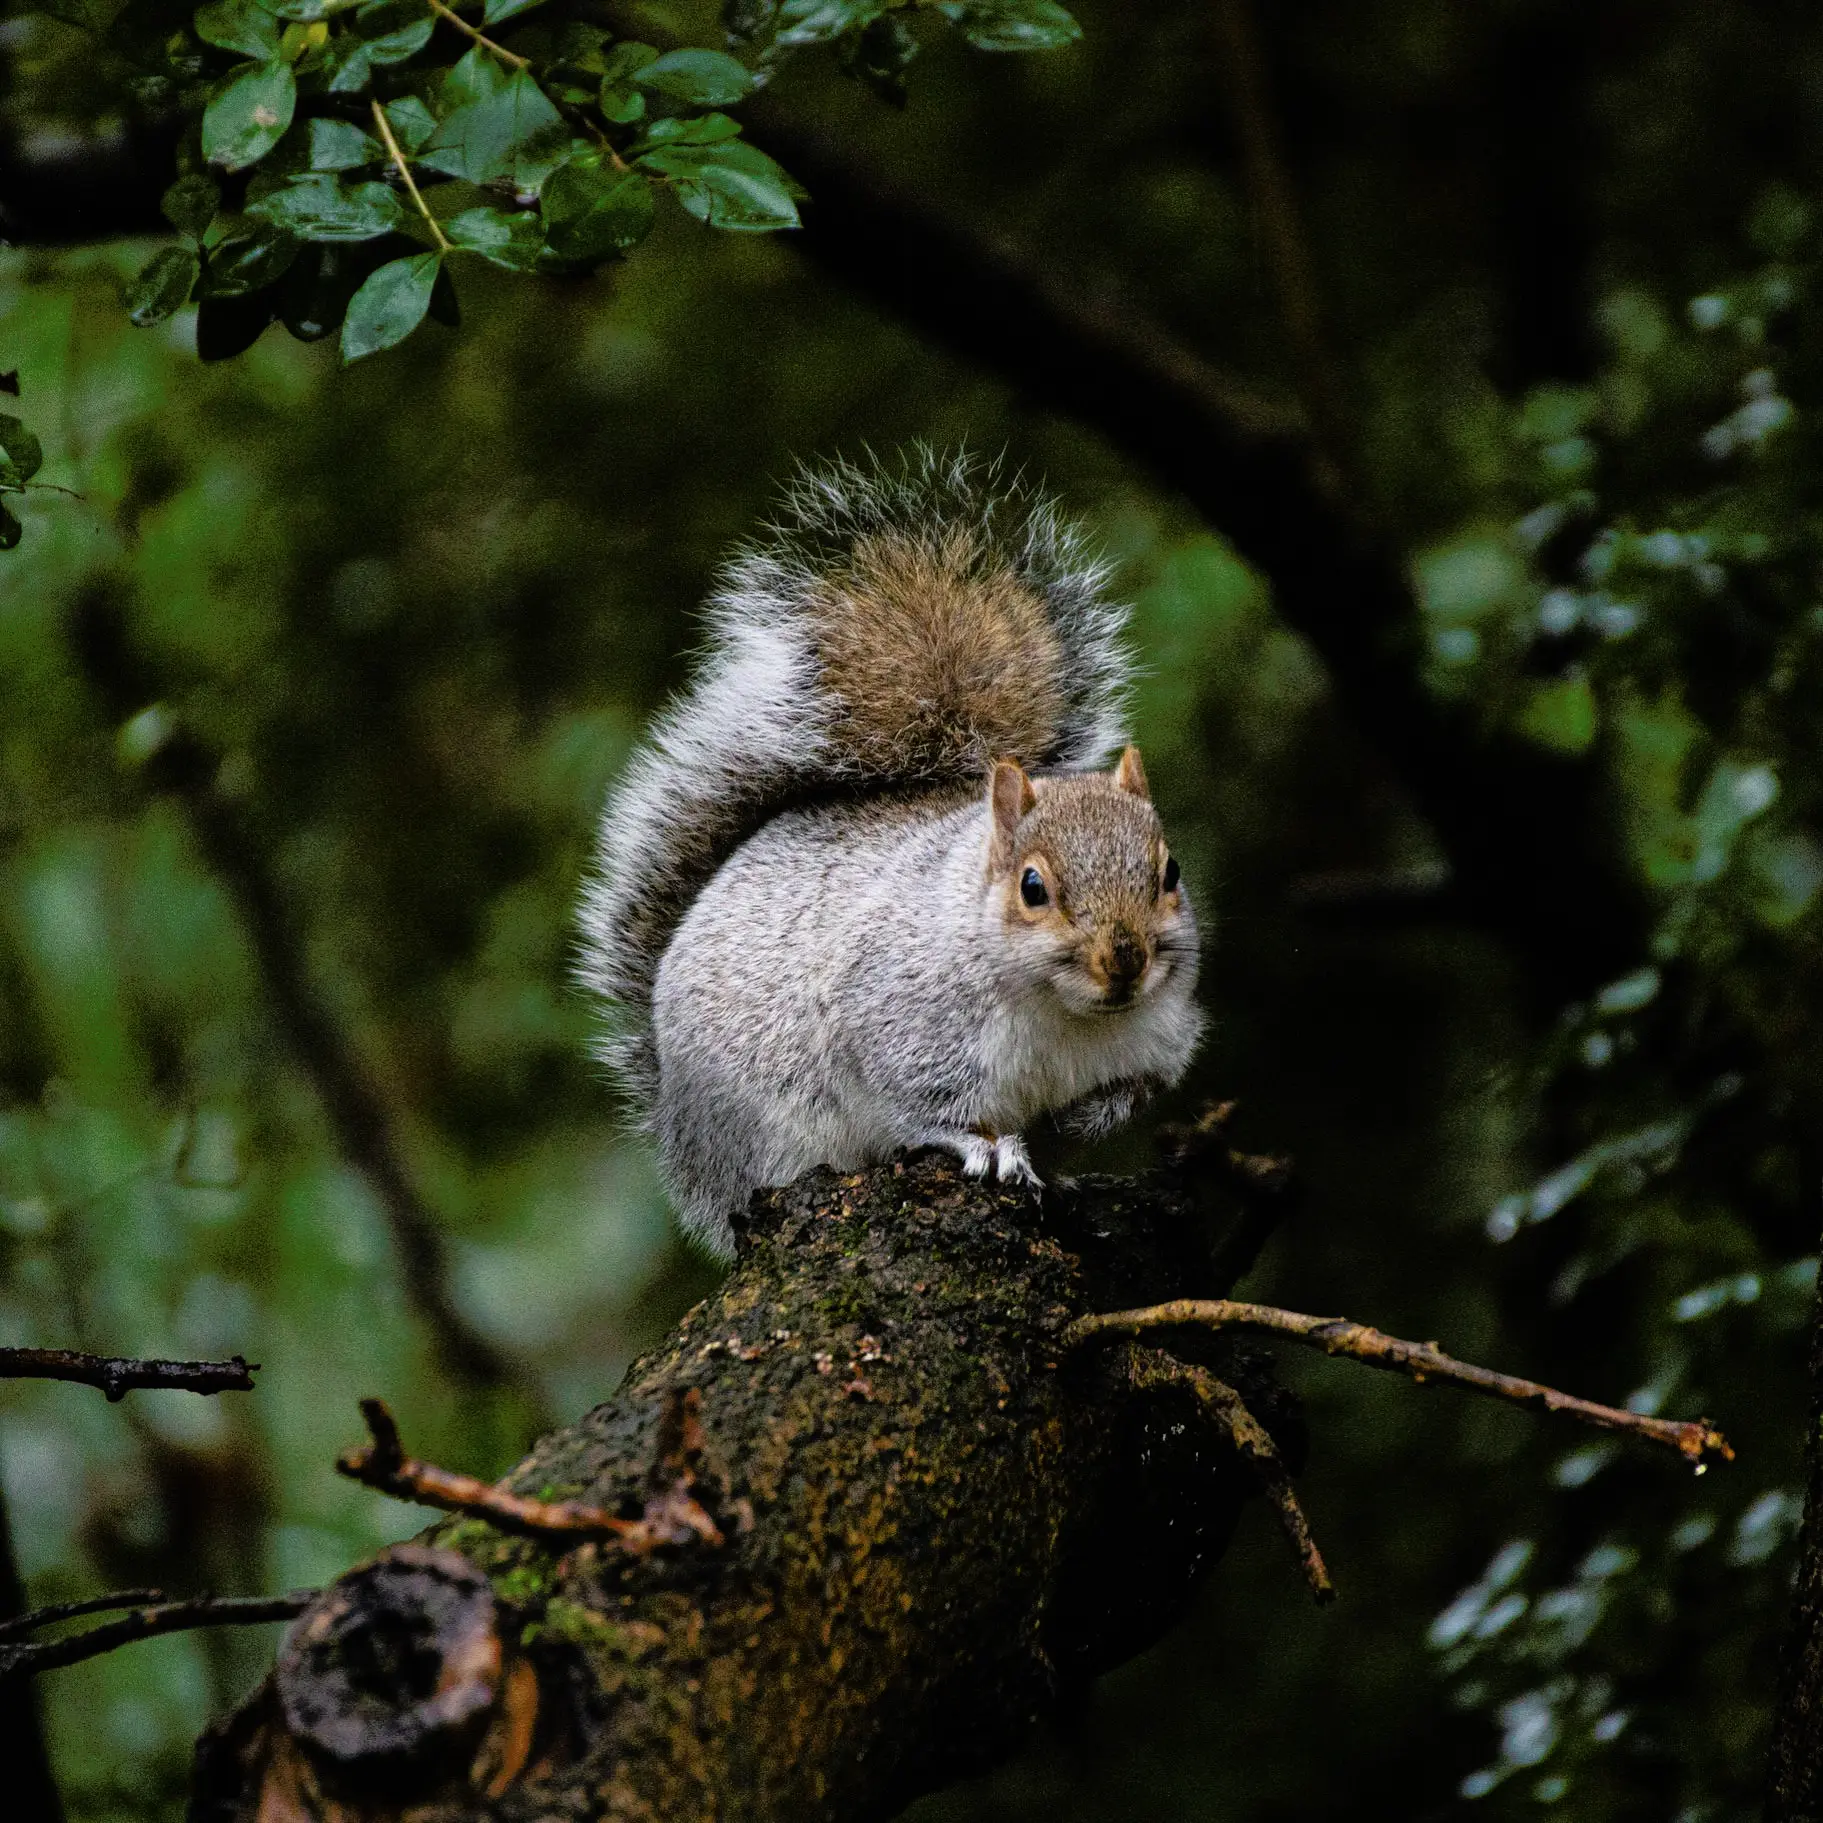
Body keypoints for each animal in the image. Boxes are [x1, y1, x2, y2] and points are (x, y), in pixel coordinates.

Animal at [577, 450, 1205, 1257]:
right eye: (1032, 887)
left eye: (1170, 872)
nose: (1124, 960)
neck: (1067, 1017)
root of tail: (678, 1139)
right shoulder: (896, 1018)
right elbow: (919, 1103)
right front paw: (985, 1145)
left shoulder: (1162, 1037)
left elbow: (1138, 1090)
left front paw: (1081, 1122)